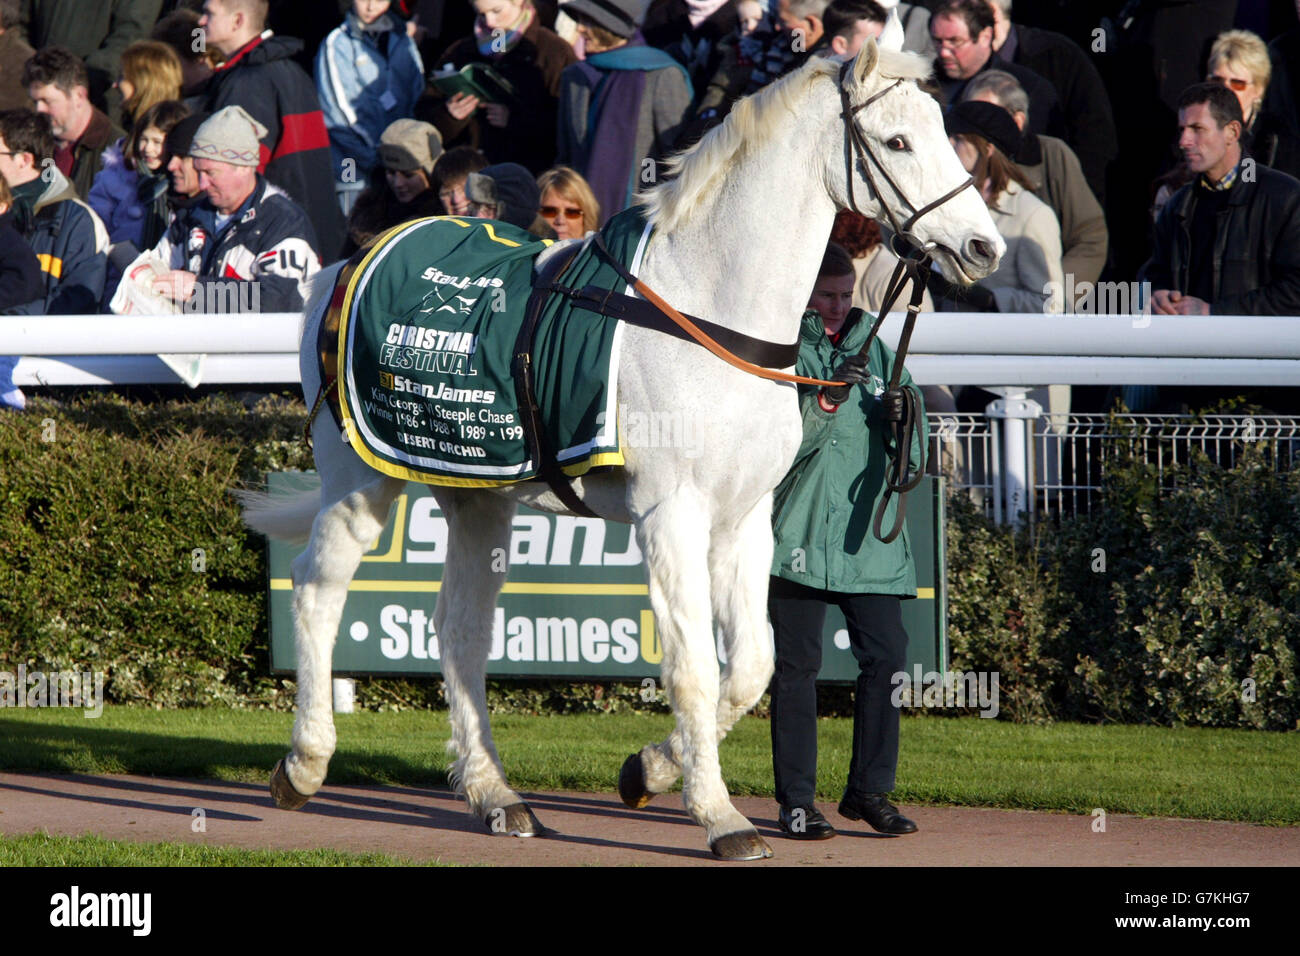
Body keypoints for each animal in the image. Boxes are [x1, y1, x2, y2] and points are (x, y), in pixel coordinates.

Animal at [237, 23, 1004, 860]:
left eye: (942, 132)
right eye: (897, 140)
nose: (983, 246)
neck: (708, 309)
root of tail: (343, 265)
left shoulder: (745, 517)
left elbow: (752, 665)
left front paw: (650, 770)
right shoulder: (670, 513)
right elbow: (695, 666)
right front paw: (721, 817)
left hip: (476, 494)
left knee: (460, 628)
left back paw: (496, 796)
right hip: (360, 479)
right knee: (317, 587)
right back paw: (304, 764)